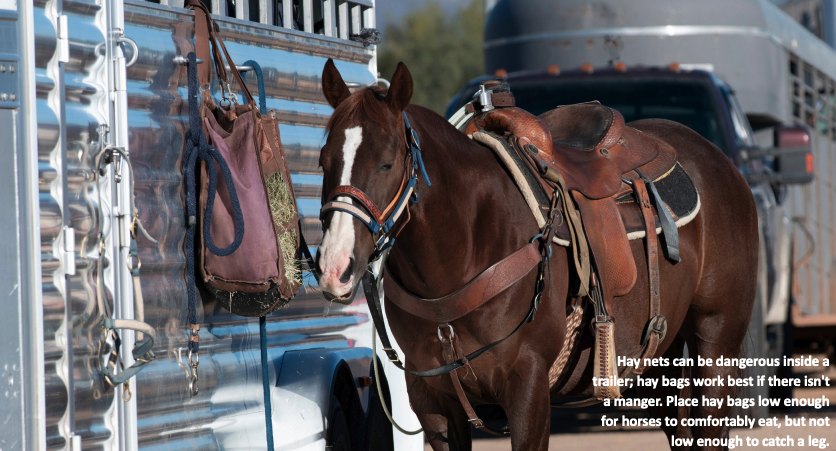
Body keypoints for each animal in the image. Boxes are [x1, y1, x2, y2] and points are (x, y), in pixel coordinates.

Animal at [314, 58, 758, 451]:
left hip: (716, 344)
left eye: (387, 163)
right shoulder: (432, 401)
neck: (465, 250)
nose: (336, 267)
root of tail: (721, 163)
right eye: (323, 161)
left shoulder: (527, 389)